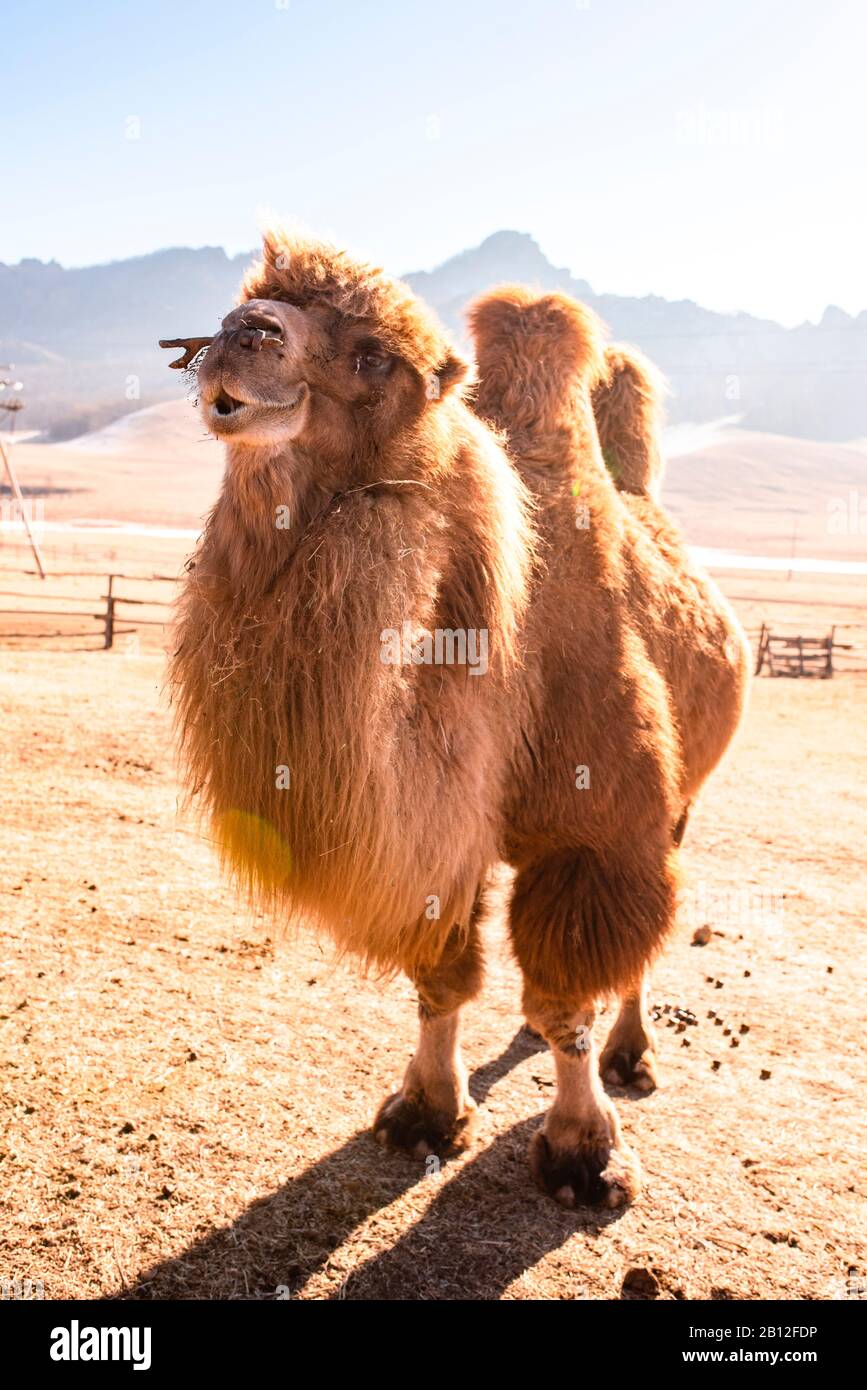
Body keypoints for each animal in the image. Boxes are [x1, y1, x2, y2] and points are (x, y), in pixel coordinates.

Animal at [166, 230, 749, 1210]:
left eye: (373, 355)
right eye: (242, 306)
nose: (244, 333)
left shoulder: (593, 832)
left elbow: (563, 994)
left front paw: (585, 1155)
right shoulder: (446, 837)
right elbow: (440, 974)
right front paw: (426, 1114)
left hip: (679, 801)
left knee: (644, 930)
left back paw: (631, 1057)